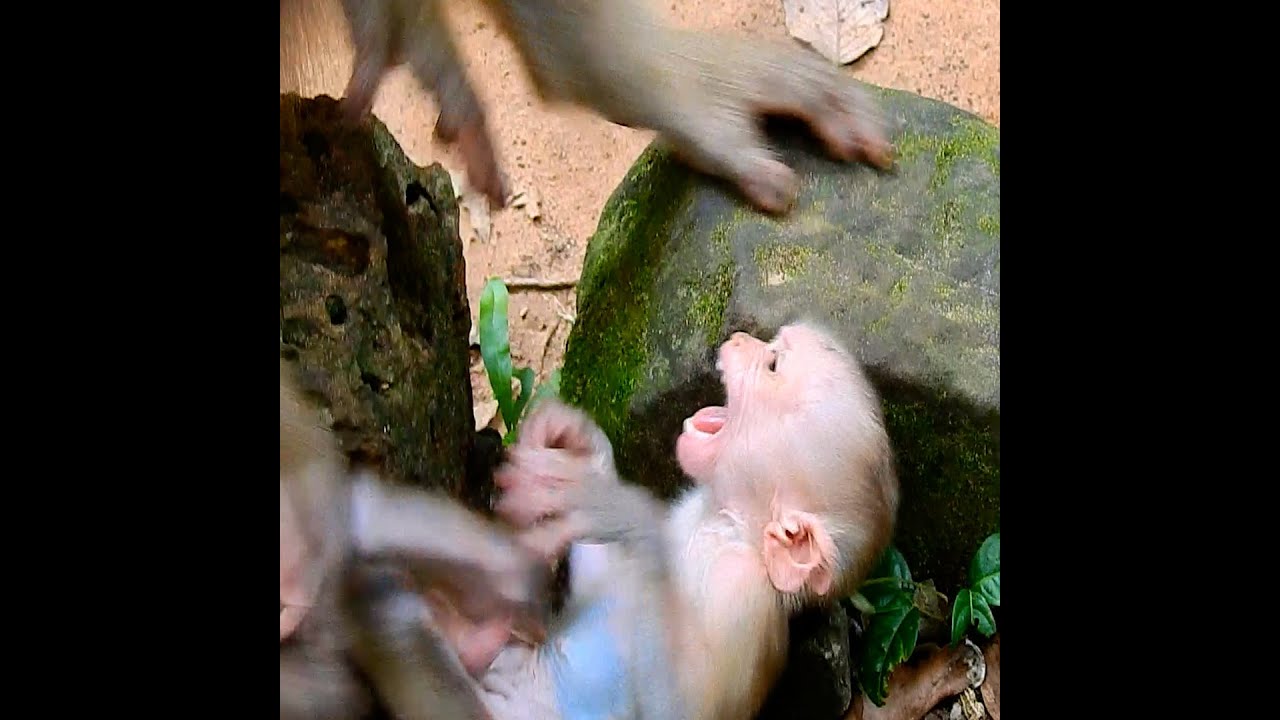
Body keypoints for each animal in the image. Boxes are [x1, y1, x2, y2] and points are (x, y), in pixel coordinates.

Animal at [491, 320, 899, 720]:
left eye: (772, 365)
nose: (739, 337)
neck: (722, 523)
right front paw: (582, 445)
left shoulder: (740, 587)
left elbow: (682, 709)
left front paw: (618, 509)